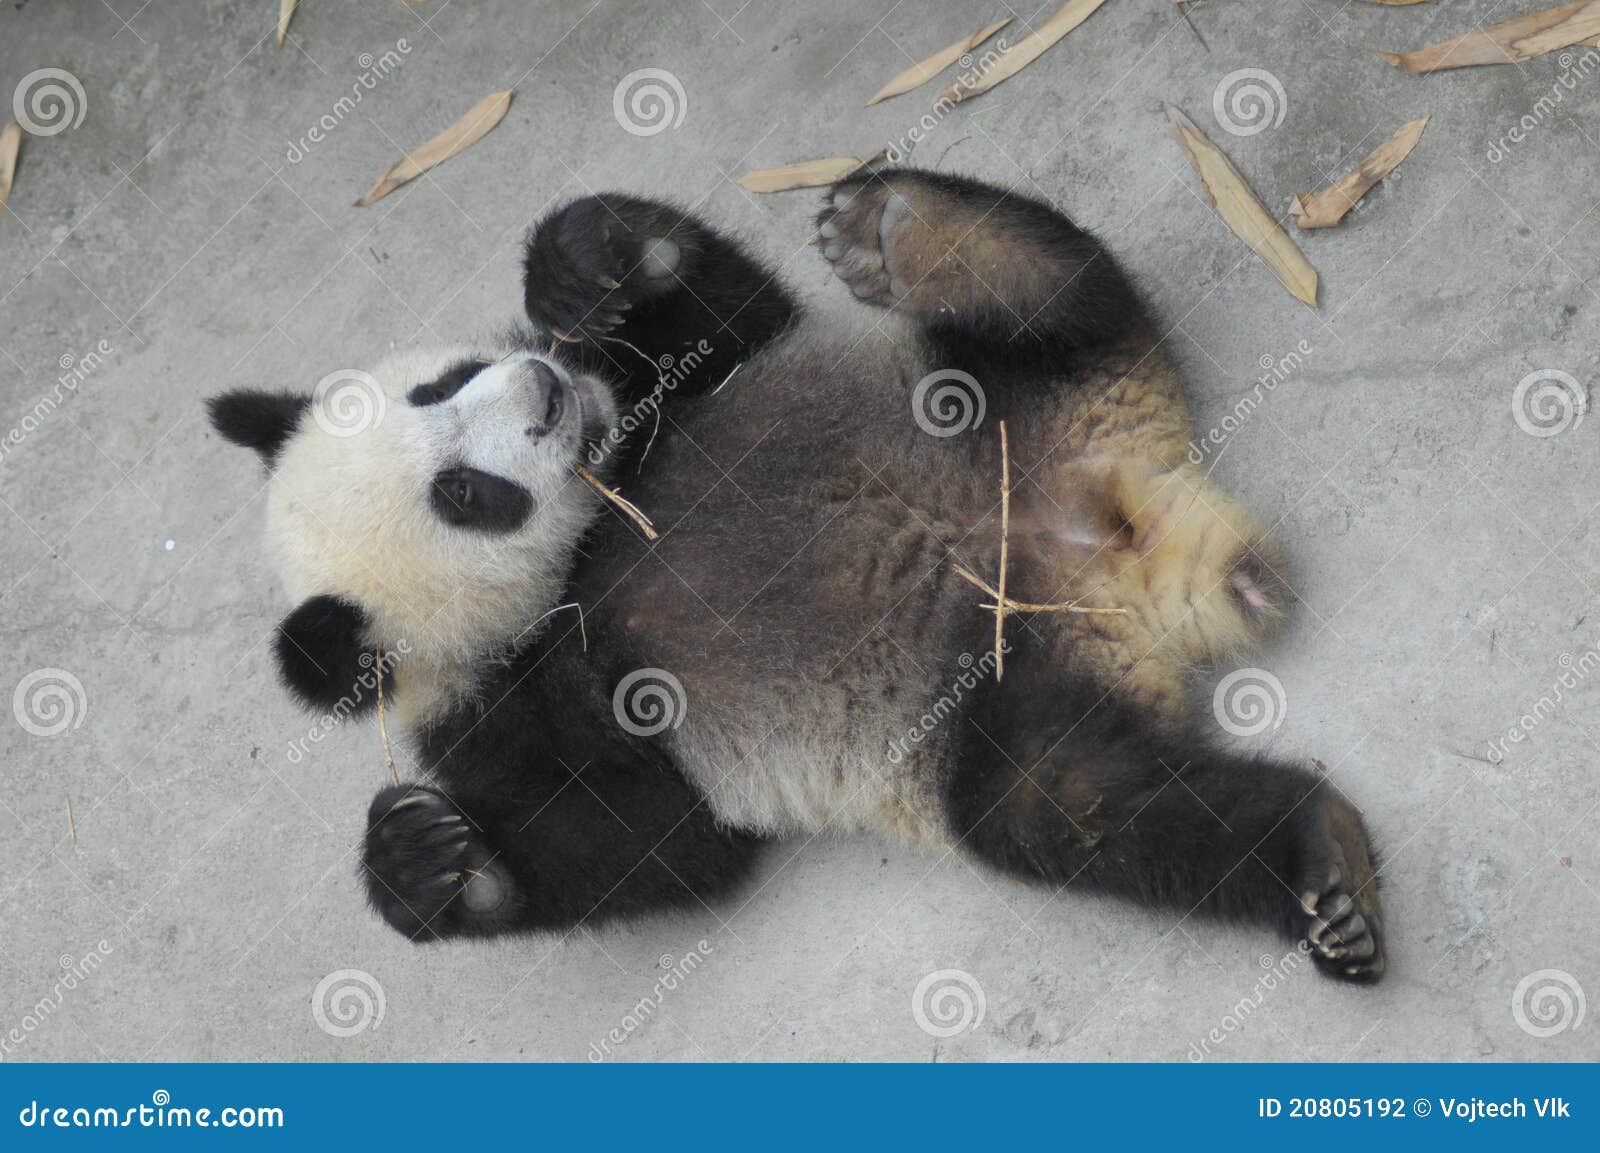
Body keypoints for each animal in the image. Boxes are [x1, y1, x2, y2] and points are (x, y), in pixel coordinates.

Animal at [207, 168, 1385, 983]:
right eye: (463, 495)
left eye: (442, 384)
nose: (543, 386)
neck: (588, 540)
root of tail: (1109, 534)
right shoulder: (523, 706)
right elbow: (643, 844)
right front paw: (431, 863)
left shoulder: (676, 404)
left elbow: (732, 318)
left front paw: (586, 262)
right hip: (999, 683)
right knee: (1082, 807)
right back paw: (1320, 871)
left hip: (987, 396)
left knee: (1058, 285)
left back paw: (896, 231)